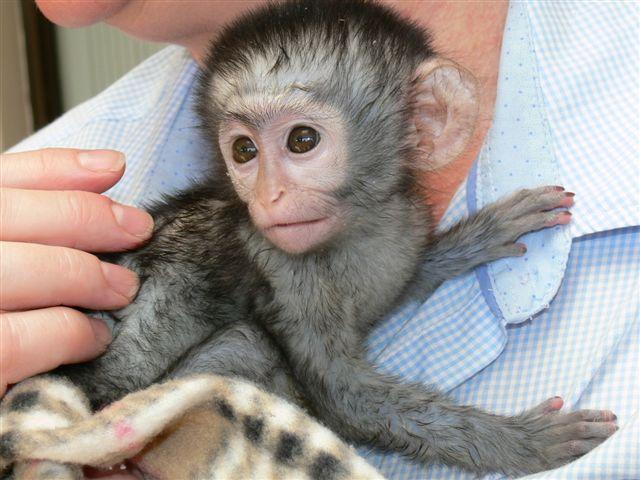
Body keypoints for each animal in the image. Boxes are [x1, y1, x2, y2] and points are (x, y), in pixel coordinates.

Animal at [58, 0, 616, 476]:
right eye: (243, 151)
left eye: (302, 140)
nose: (269, 197)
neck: (354, 230)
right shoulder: (279, 263)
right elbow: (345, 395)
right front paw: (521, 442)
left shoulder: (400, 225)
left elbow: (397, 286)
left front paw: (477, 236)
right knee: (246, 348)